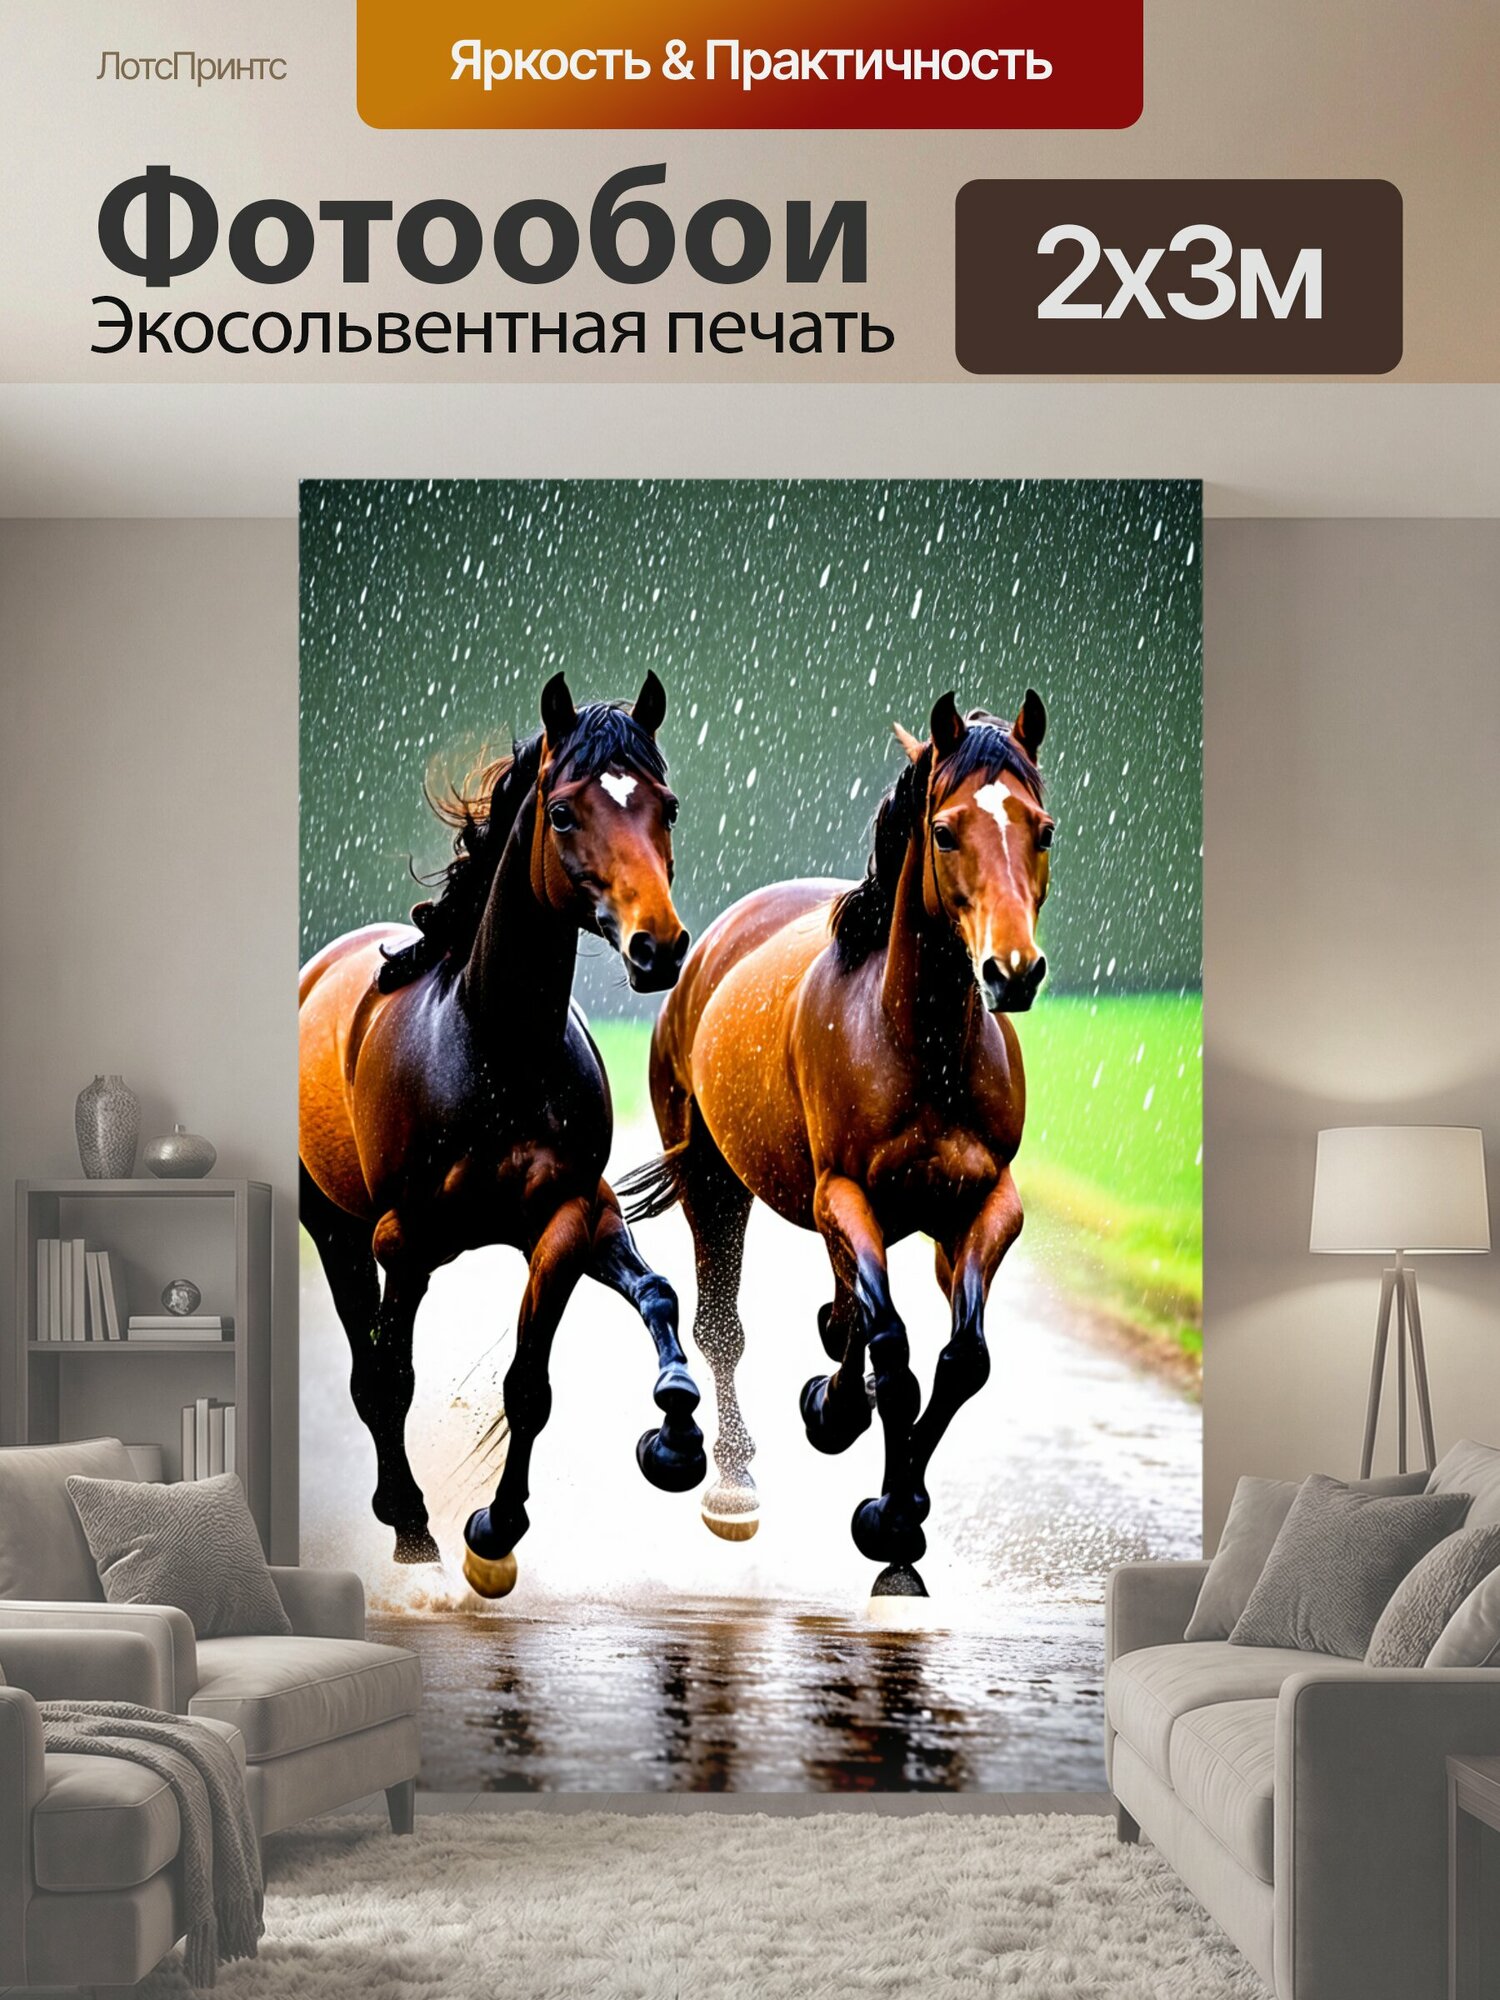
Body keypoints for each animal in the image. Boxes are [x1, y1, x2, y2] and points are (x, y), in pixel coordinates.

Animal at [298, 670, 707, 1601]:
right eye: (562, 813)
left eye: (666, 806)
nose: (658, 948)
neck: (498, 1051)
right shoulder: (406, 1240)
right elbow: (391, 1379)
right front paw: (433, 1534)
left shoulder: (566, 1222)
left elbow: (539, 1380)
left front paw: (499, 1531)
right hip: (336, 1230)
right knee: (372, 1372)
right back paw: (406, 1520)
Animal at [620, 690, 1053, 1600]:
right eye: (946, 830)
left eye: (1042, 829)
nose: (1013, 971)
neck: (920, 1045)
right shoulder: (845, 1193)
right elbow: (893, 1349)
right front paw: (883, 1509)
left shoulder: (991, 1204)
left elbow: (960, 1360)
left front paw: (898, 1523)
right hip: (719, 1184)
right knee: (726, 1327)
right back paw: (738, 1485)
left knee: (859, 1307)